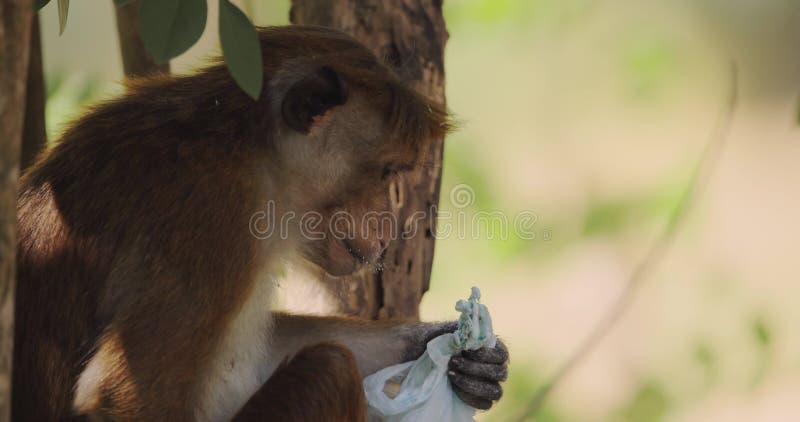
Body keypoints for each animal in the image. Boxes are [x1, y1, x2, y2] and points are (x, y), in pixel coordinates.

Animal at [12, 25, 508, 421]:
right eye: (388, 172)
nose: (391, 226)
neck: (248, 149)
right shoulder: (216, 216)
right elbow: (121, 401)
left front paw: (450, 349)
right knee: (329, 369)